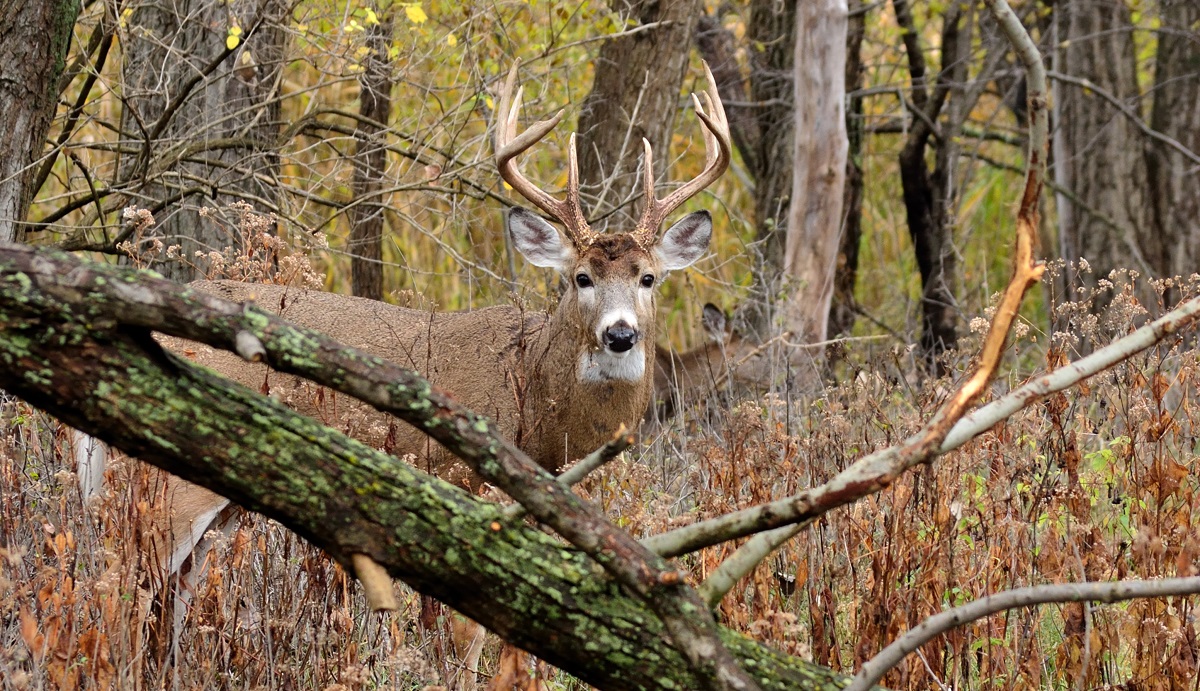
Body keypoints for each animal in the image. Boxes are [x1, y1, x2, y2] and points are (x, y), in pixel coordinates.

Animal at [73, 61, 731, 688]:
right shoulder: (467, 487)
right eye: (582, 278)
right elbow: (466, 635)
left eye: (648, 278)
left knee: (168, 598)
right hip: (165, 485)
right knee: (123, 587)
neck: (536, 402)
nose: (620, 334)